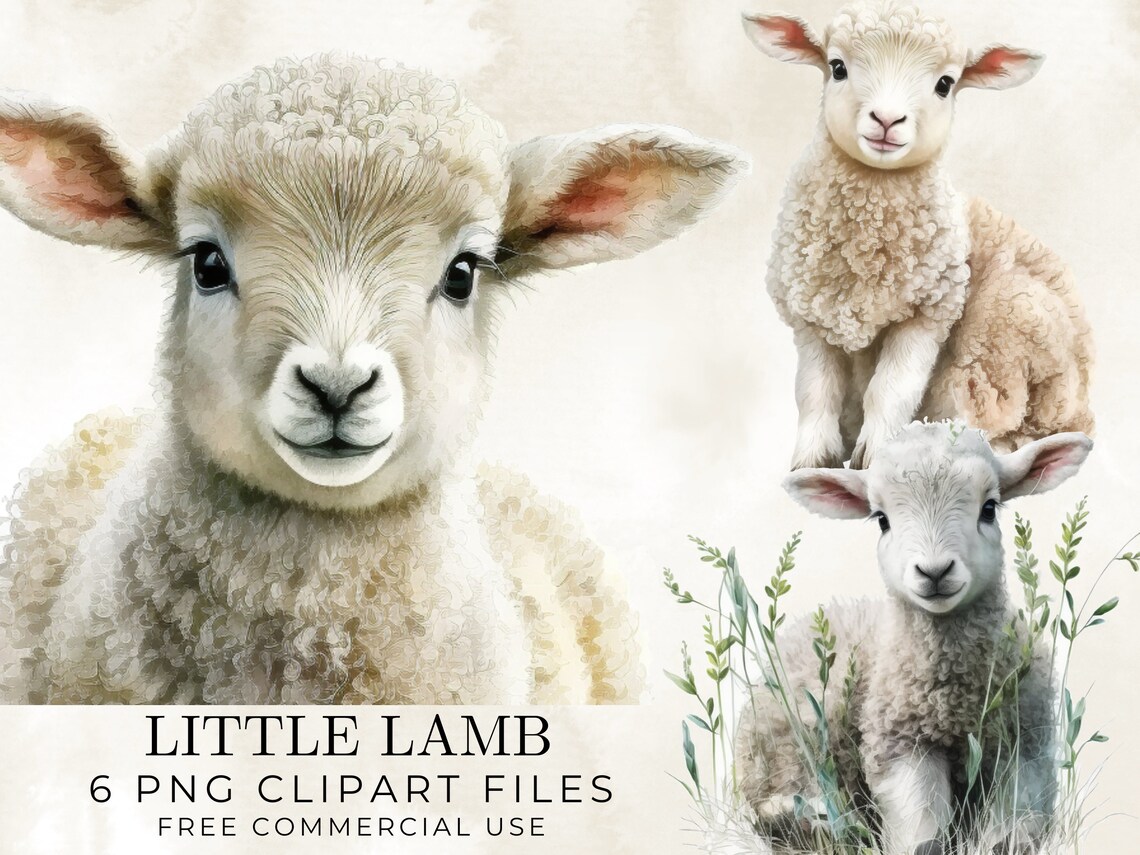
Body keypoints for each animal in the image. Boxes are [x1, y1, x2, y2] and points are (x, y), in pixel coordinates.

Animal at [735, 421, 1092, 855]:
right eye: (881, 519)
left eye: (989, 508)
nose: (934, 572)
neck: (956, 701)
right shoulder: (901, 745)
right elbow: (924, 837)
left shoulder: (1025, 746)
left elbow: (1012, 835)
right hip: (786, 743)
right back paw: (807, 822)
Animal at [742, 1, 1094, 471]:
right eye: (837, 67)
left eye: (945, 84)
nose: (887, 120)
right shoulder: (811, 316)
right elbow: (816, 392)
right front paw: (812, 460)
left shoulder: (929, 311)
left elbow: (889, 389)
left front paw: (877, 455)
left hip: (1011, 323)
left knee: (1005, 418)